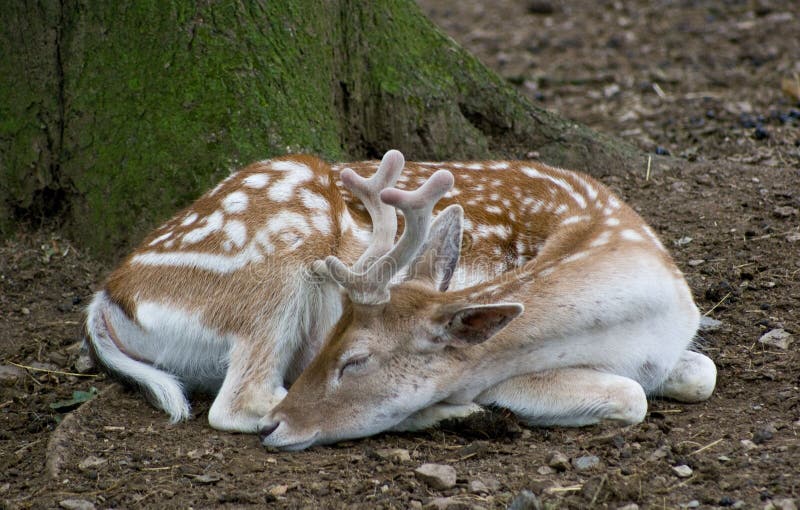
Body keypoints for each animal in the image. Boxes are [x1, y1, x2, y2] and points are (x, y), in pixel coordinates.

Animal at [84, 150, 717, 448]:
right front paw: (482, 403)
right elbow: (630, 394)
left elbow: (701, 372)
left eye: (356, 359)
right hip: (275, 270)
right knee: (241, 402)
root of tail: (108, 298)